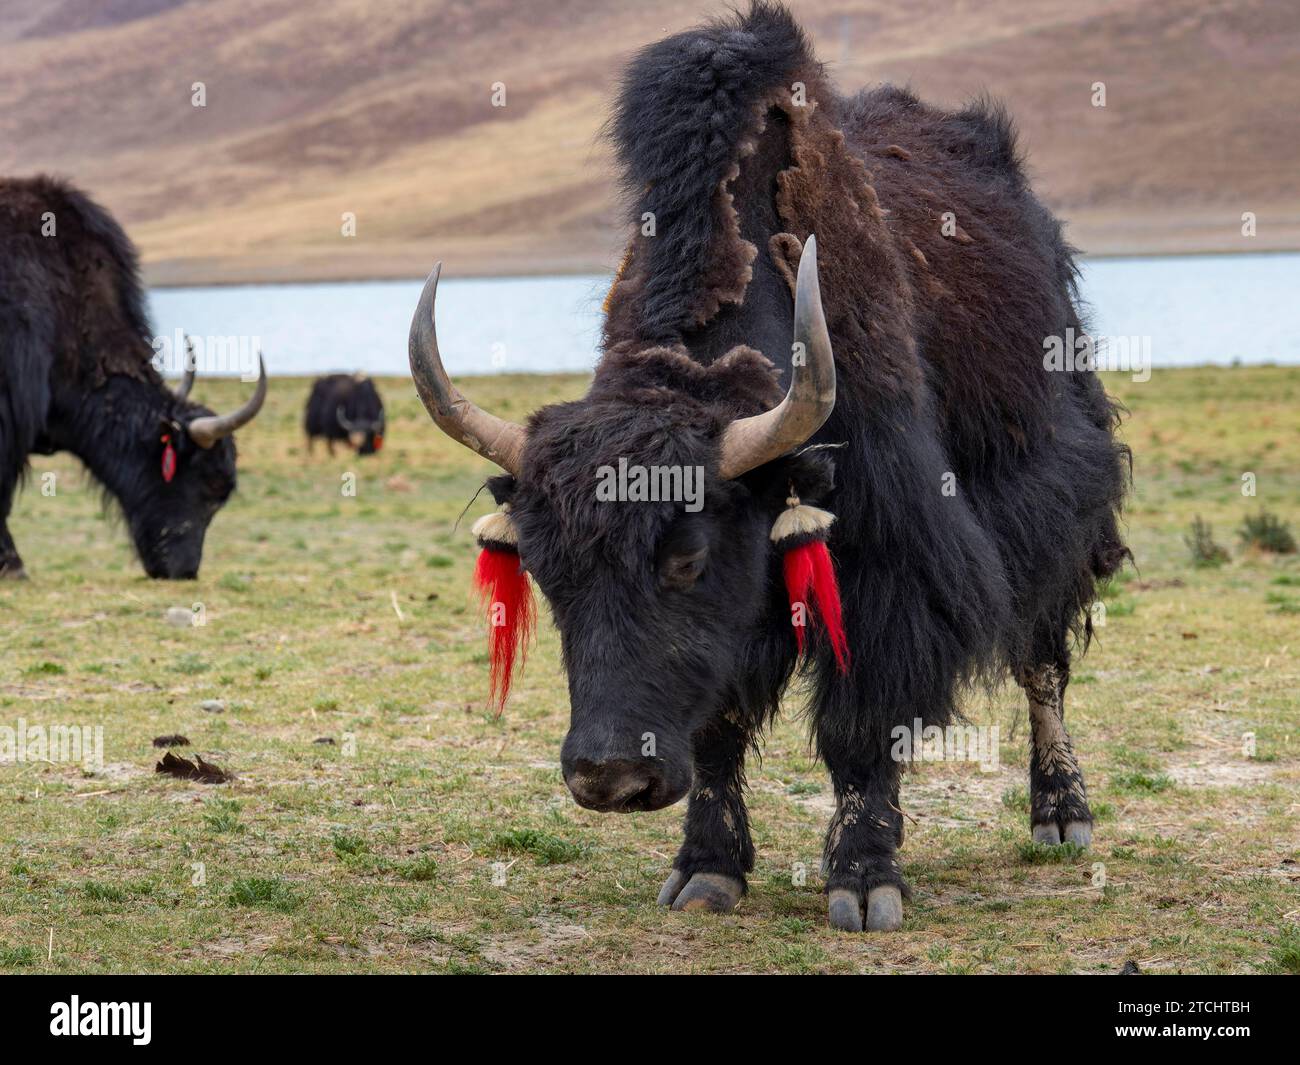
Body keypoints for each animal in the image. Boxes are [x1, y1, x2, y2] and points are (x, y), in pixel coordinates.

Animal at [407, 2, 1129, 932]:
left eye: (688, 558)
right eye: (543, 568)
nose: (609, 777)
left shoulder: (890, 564)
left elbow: (862, 720)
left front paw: (864, 880)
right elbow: (717, 720)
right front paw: (706, 869)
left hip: (1058, 500)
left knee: (1043, 659)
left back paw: (1061, 815)